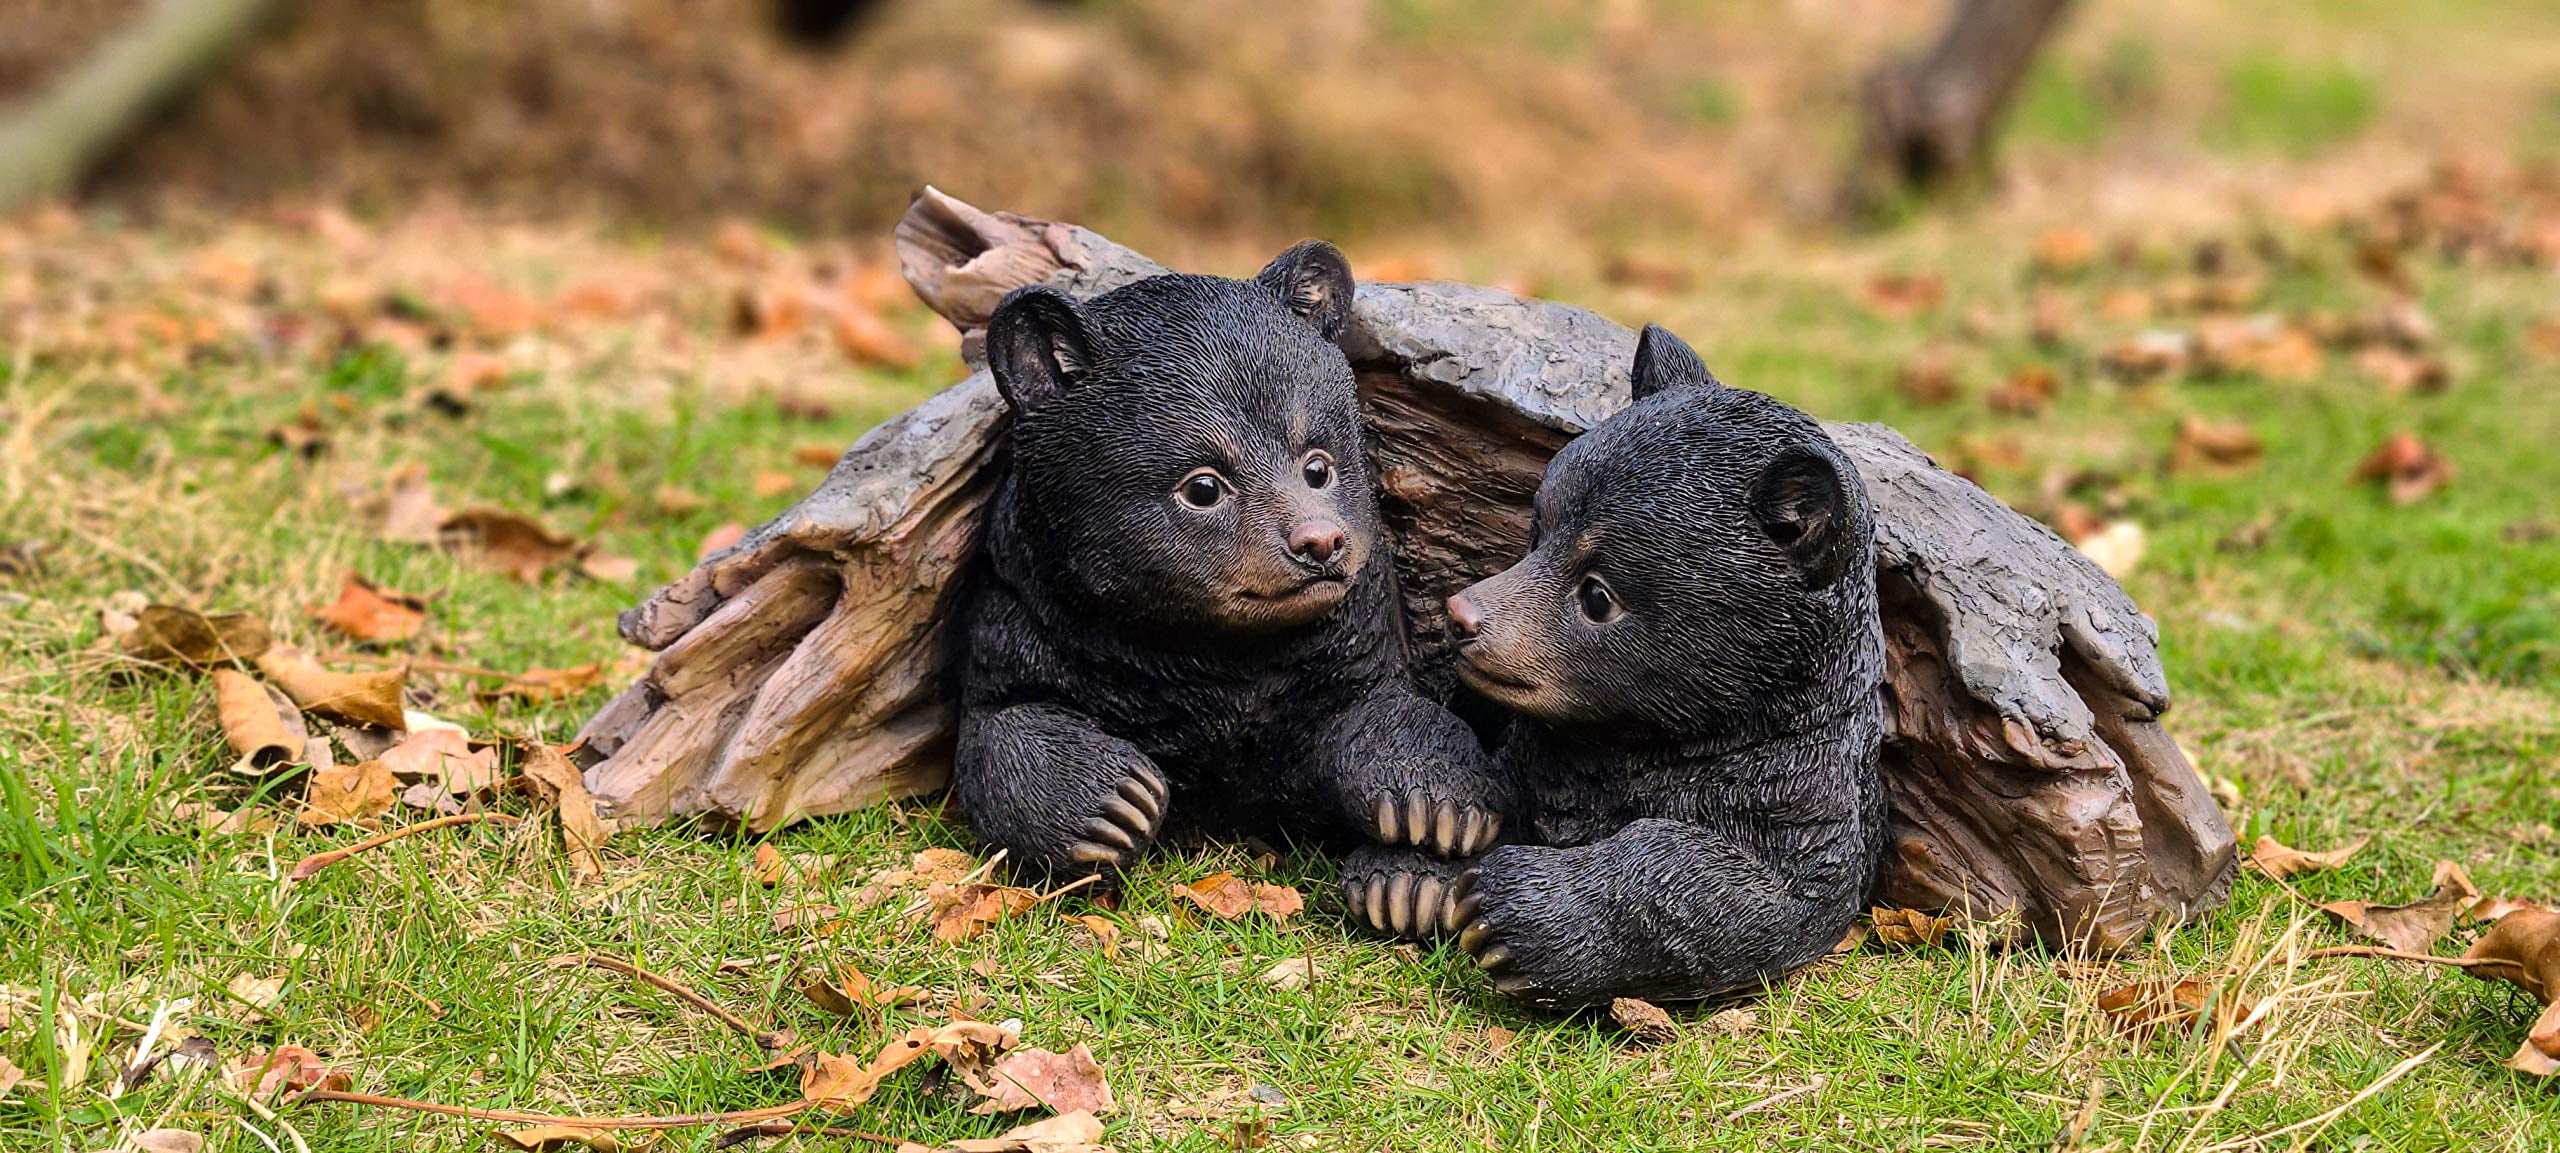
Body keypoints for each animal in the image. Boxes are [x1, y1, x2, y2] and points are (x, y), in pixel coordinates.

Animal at [951, 242, 1511, 884]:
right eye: (1203, 486)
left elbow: (1377, 703)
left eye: (1318, 465)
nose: (1319, 542)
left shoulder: (1352, 634)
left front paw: (1441, 806)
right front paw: (1115, 803)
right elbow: (999, 718)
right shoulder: (1030, 615)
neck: (1213, 655)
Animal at [1340, 323, 1887, 1006]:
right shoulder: (1539, 750)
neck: (1639, 740)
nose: (1464, 615)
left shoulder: (1792, 789)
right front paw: (1410, 866)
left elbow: (1759, 888)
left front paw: (1512, 910)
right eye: (1537, 532)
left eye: (1598, 594)